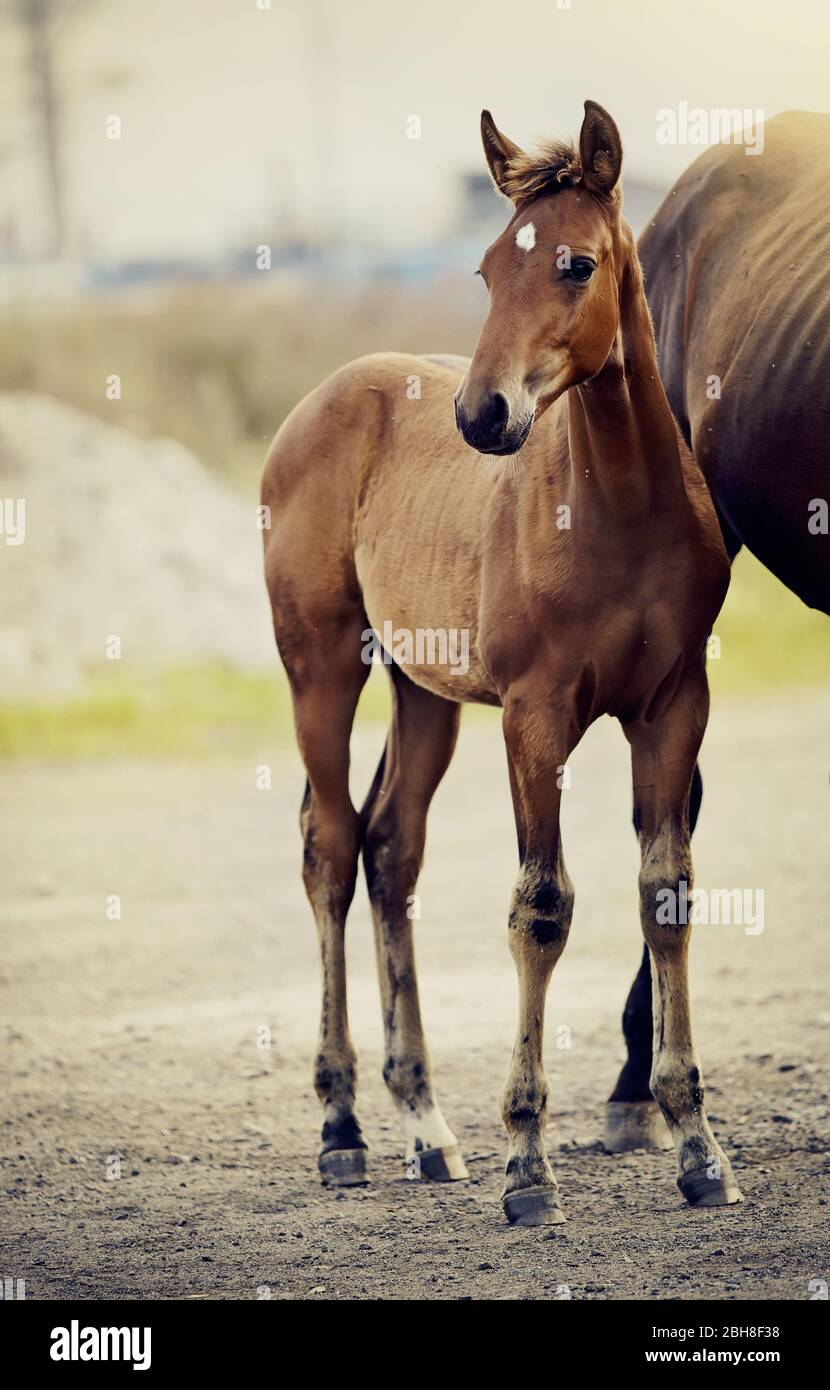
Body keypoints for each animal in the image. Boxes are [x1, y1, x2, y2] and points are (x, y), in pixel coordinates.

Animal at [261, 101, 739, 1227]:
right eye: (484, 269)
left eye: (574, 263)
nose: (482, 417)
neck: (616, 506)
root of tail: (323, 397)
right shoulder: (536, 715)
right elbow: (542, 905)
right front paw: (529, 1164)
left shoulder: (673, 707)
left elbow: (666, 891)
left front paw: (697, 1149)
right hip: (320, 666)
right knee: (329, 846)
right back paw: (343, 1128)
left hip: (422, 691)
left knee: (391, 847)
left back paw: (428, 1129)